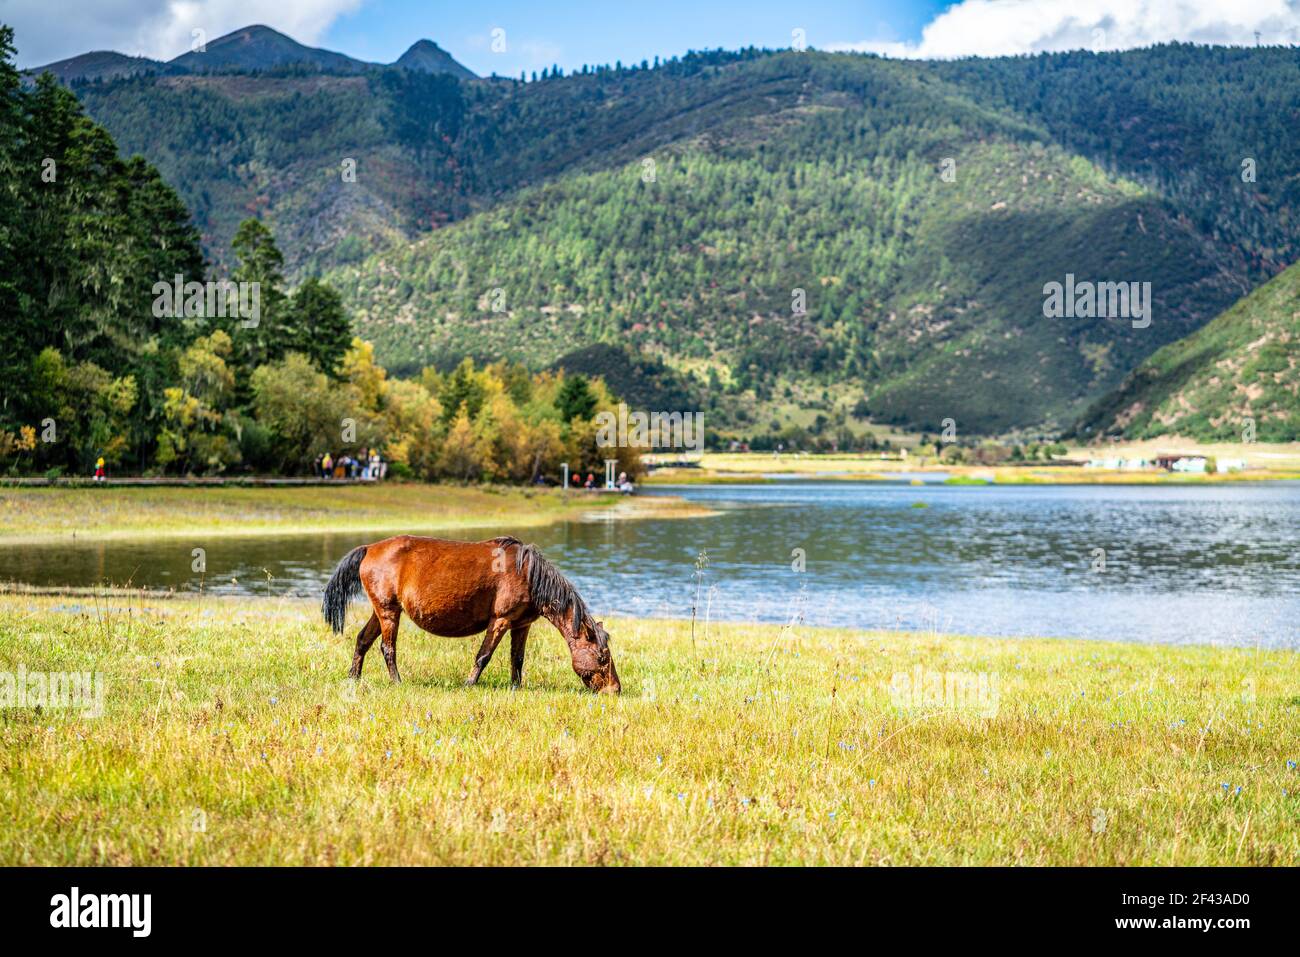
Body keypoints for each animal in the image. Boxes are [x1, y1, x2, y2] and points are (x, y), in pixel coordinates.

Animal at [321, 535, 620, 693]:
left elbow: (517, 658)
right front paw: (469, 683)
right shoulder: (501, 619)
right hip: (388, 612)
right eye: (602, 657)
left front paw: (516, 687)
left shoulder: (521, 624)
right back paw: (397, 681)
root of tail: (370, 548)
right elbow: (484, 655)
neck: (528, 574)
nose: (614, 689)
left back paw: (353, 678)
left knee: (362, 640)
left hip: (381, 610)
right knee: (387, 648)